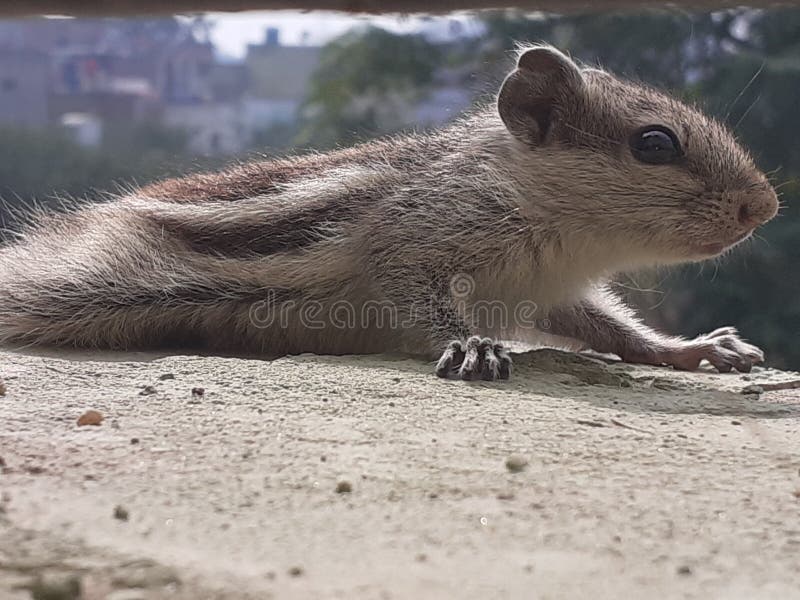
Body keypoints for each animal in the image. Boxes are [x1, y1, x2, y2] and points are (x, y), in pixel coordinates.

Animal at [0, 45, 778, 381]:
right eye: (655, 143)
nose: (765, 206)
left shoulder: (552, 290)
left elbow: (615, 331)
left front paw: (695, 349)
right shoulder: (416, 238)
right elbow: (412, 290)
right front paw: (471, 345)